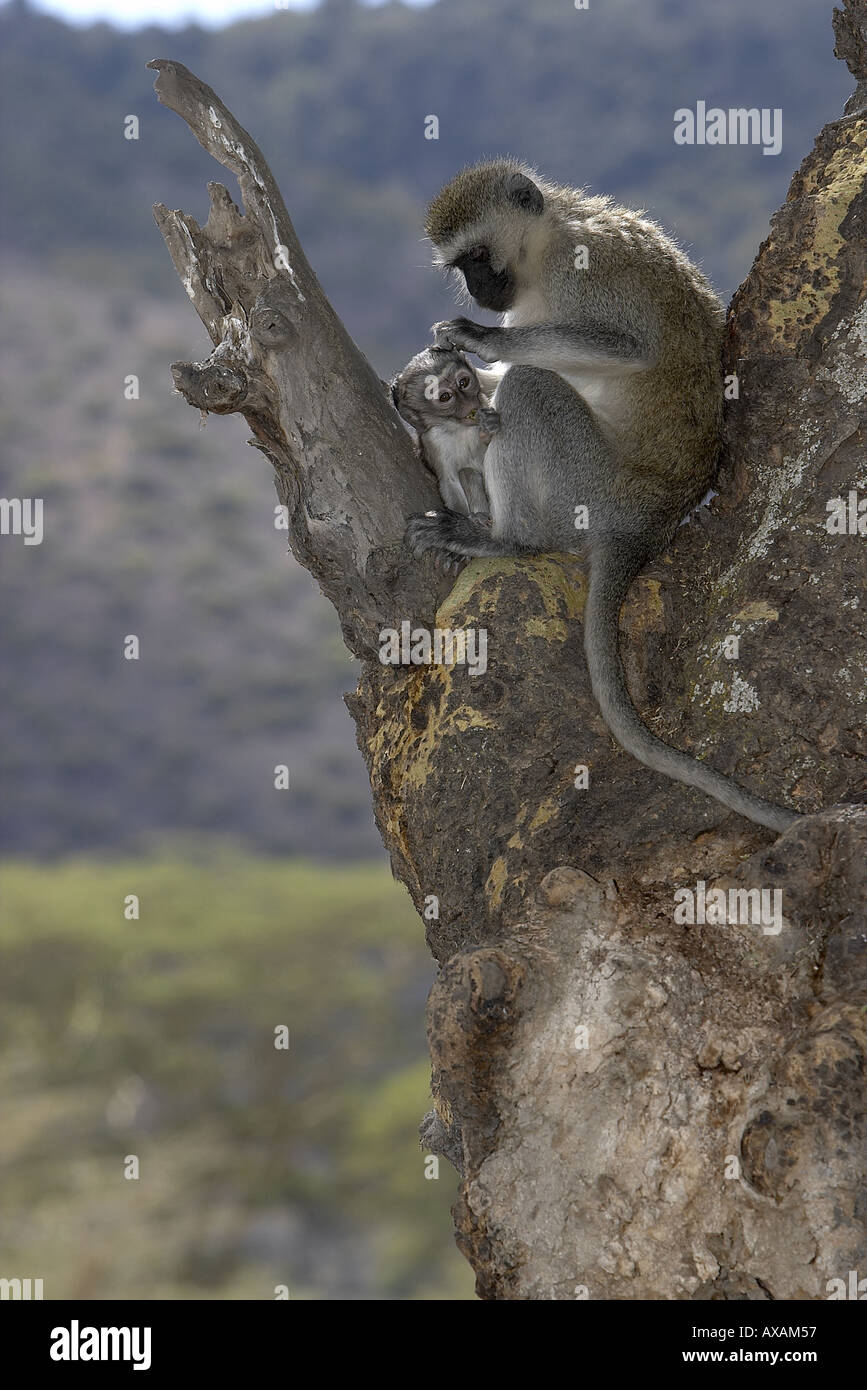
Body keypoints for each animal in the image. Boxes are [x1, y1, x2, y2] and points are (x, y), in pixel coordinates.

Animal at [390, 346, 498, 520]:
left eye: (463, 382)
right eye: (445, 397)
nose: (468, 403)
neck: (459, 427)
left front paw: (490, 425)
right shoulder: (433, 440)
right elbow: (449, 482)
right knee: (468, 473)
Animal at [405, 157, 798, 835]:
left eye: (478, 255)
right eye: (460, 265)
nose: (477, 291)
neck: (547, 242)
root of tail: (646, 521)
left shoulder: (584, 268)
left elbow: (629, 348)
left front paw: (479, 338)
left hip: (585, 484)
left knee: (532, 388)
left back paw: (502, 540)